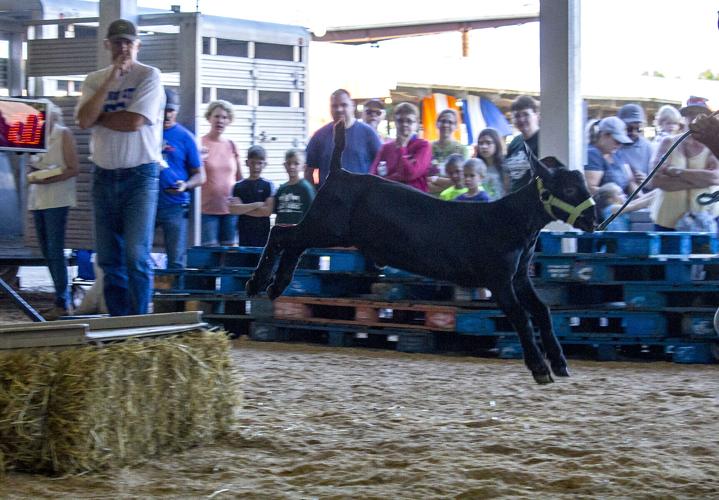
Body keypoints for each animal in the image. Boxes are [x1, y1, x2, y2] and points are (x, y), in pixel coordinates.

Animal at [247, 122, 597, 384]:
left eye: (583, 184)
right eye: (568, 189)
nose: (593, 218)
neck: (510, 220)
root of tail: (339, 172)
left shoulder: (520, 275)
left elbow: (542, 311)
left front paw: (560, 362)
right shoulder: (499, 278)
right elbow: (522, 317)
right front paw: (540, 369)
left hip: (326, 229)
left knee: (292, 242)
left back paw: (276, 287)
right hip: (326, 226)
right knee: (281, 235)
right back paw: (258, 283)